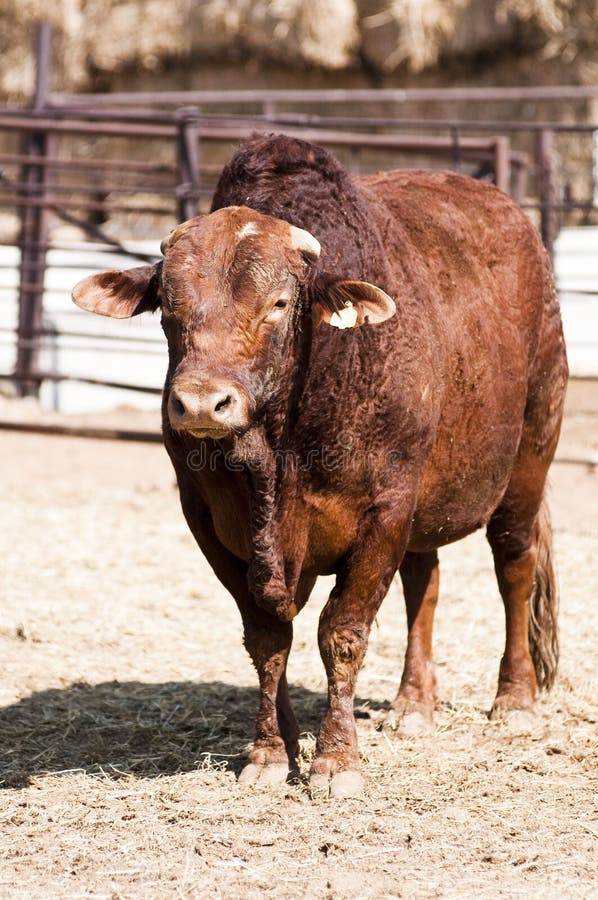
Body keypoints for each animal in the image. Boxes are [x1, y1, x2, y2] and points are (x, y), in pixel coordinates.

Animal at [72, 133, 568, 798]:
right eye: (167, 308)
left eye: (281, 303)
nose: (201, 402)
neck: (275, 458)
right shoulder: (210, 524)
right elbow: (267, 637)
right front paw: (271, 749)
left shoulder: (384, 511)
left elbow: (342, 634)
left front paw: (336, 760)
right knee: (424, 582)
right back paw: (414, 703)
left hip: (527, 459)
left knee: (513, 568)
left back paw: (514, 701)